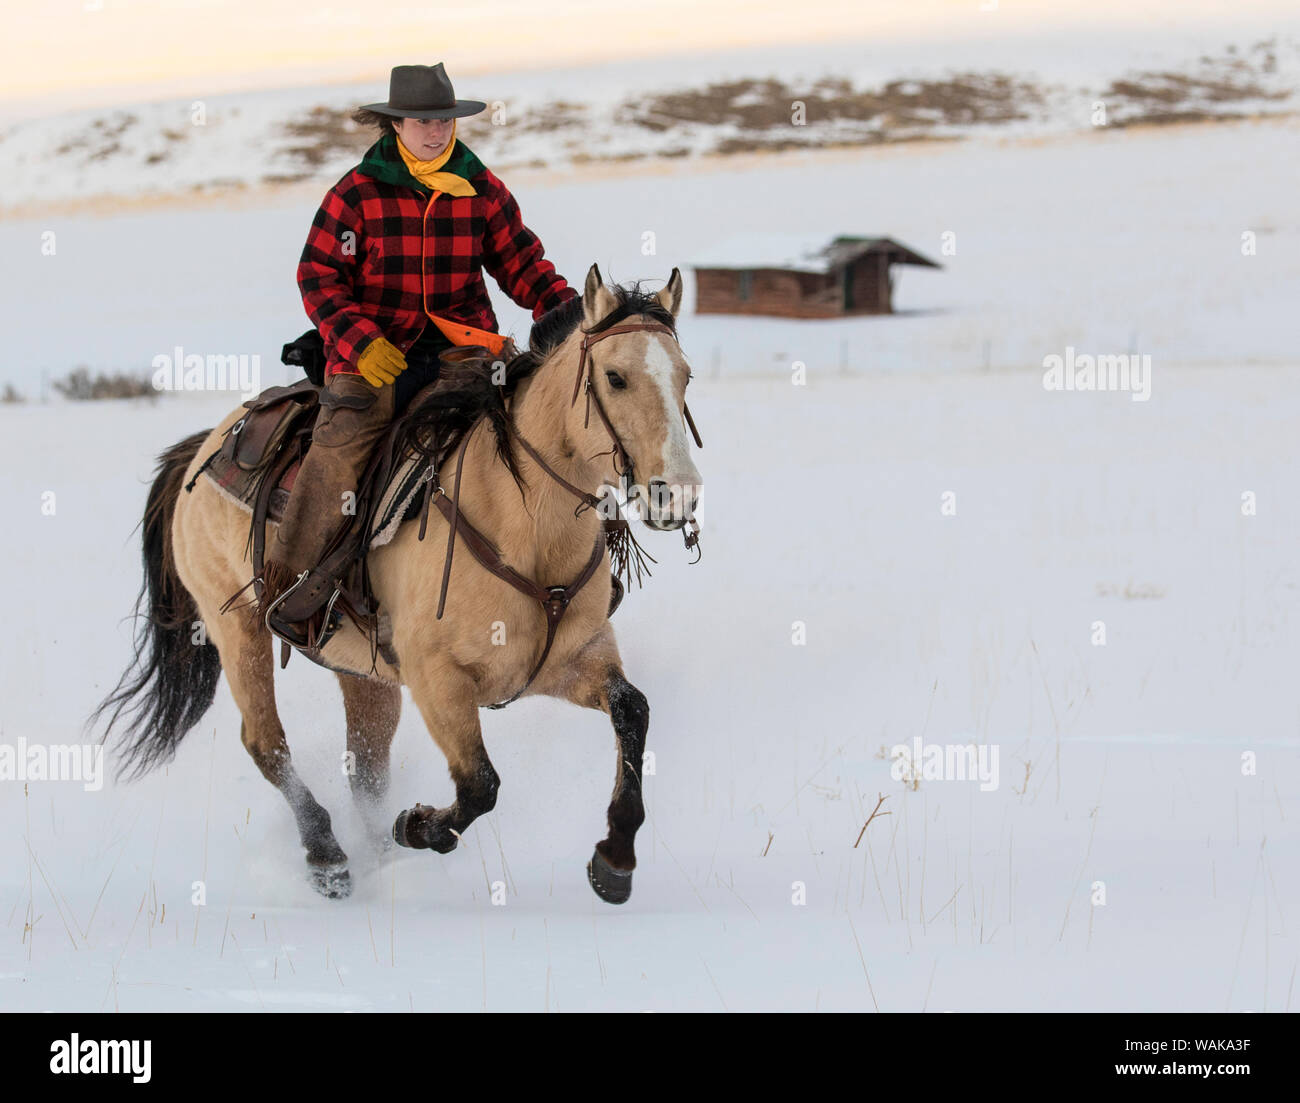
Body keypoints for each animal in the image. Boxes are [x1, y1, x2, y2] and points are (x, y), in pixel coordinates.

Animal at [93, 264, 703, 904]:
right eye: (615, 377)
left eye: (685, 376)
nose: (678, 494)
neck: (523, 526)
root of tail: (204, 448)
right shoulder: (438, 680)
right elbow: (480, 784)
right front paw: (417, 826)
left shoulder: (570, 660)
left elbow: (633, 712)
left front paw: (614, 859)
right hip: (236, 628)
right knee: (267, 744)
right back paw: (328, 858)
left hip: (364, 673)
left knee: (364, 766)